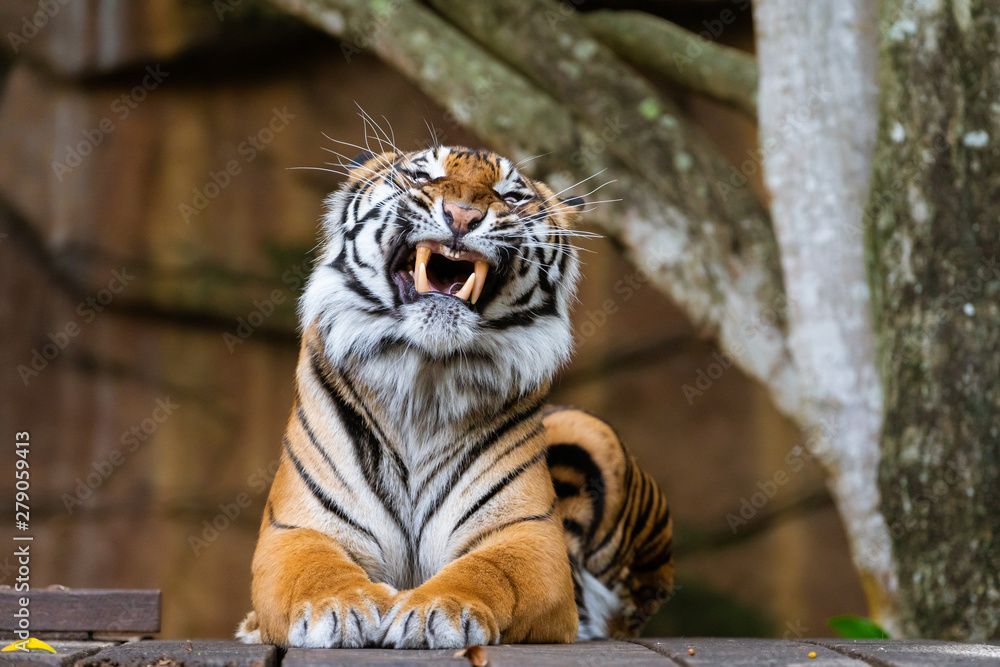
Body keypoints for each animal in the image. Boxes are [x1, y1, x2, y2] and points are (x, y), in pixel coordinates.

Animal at [236, 144, 673, 649]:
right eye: (424, 175)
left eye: (511, 195)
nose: (463, 214)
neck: (424, 378)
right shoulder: (297, 527)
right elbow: (314, 569)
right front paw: (338, 606)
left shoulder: (527, 538)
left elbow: (487, 572)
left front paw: (436, 610)